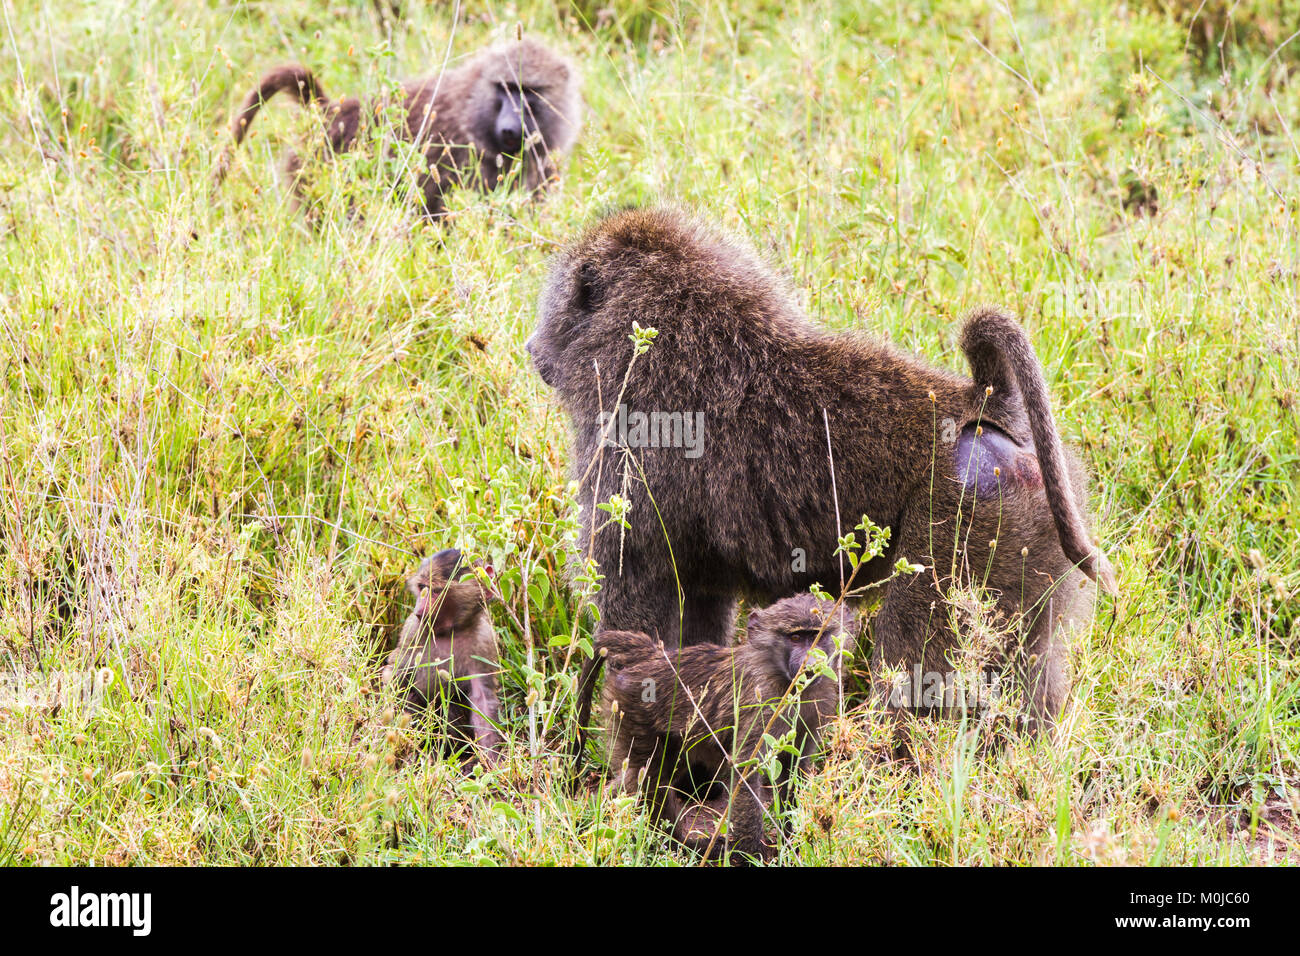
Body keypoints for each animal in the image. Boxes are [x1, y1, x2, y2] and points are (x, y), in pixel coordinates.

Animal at [380, 549, 503, 766]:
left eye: (435, 591)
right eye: (422, 587)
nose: (419, 608)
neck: (452, 630)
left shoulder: (485, 639)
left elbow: (482, 700)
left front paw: (493, 764)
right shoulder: (413, 629)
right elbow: (397, 677)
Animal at [528, 207, 1117, 732]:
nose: (532, 348)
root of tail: (988, 401)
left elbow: (631, 609)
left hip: (963, 521)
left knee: (918, 663)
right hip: (1040, 526)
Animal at [581, 593, 857, 863]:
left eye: (819, 635)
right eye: (796, 637)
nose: (812, 662)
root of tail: (652, 657)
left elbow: (794, 769)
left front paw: (792, 845)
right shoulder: (762, 705)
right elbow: (746, 772)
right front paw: (751, 856)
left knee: (643, 776)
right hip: (634, 712)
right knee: (649, 779)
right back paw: (676, 844)